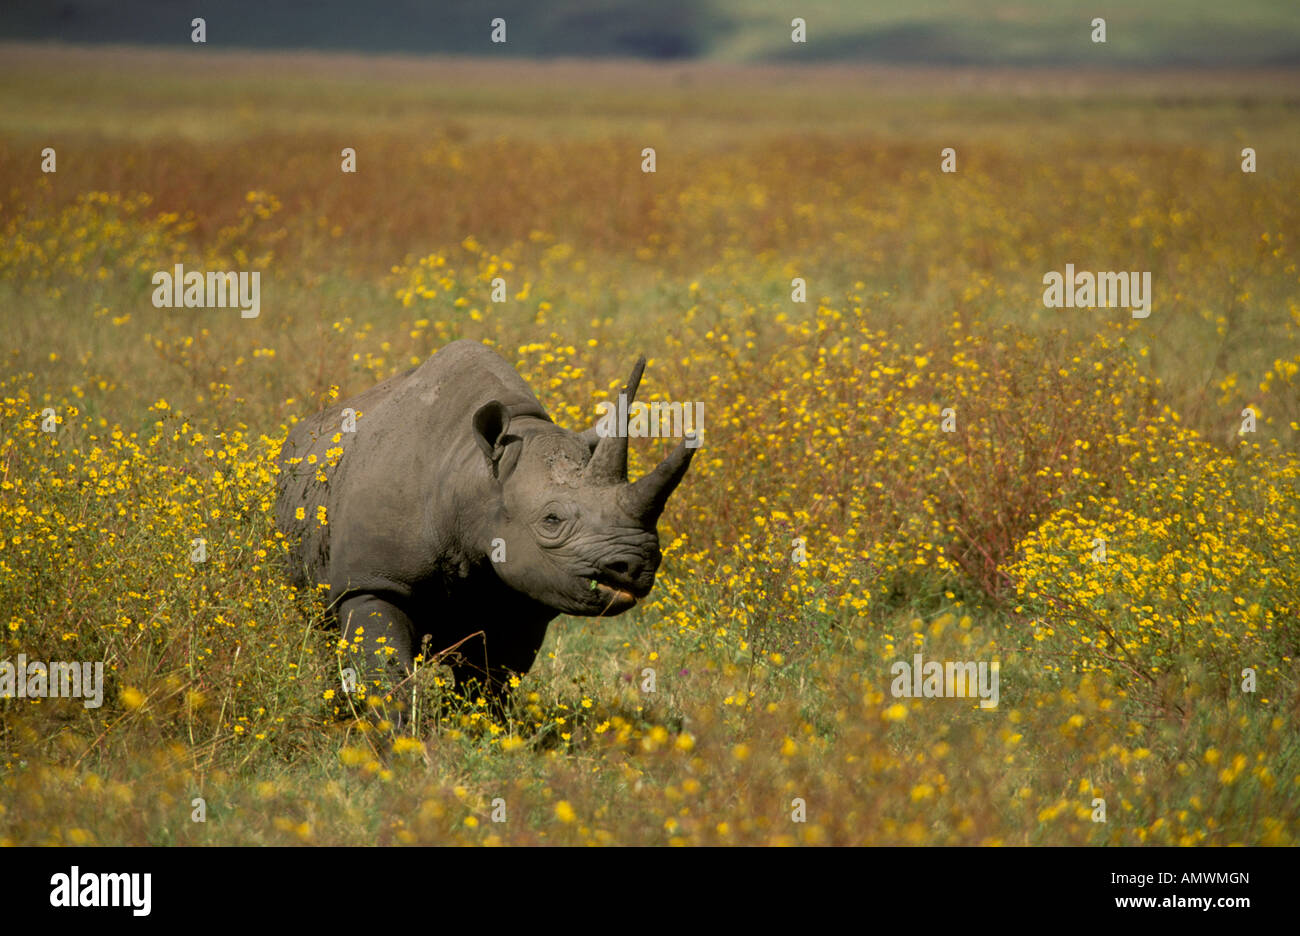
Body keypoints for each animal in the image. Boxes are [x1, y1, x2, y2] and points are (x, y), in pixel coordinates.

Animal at [275, 340, 696, 708]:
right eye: (552, 520)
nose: (636, 565)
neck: (471, 474)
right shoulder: (371, 581)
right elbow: (384, 670)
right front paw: (397, 739)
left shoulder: (527, 592)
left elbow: (492, 679)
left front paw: (480, 728)